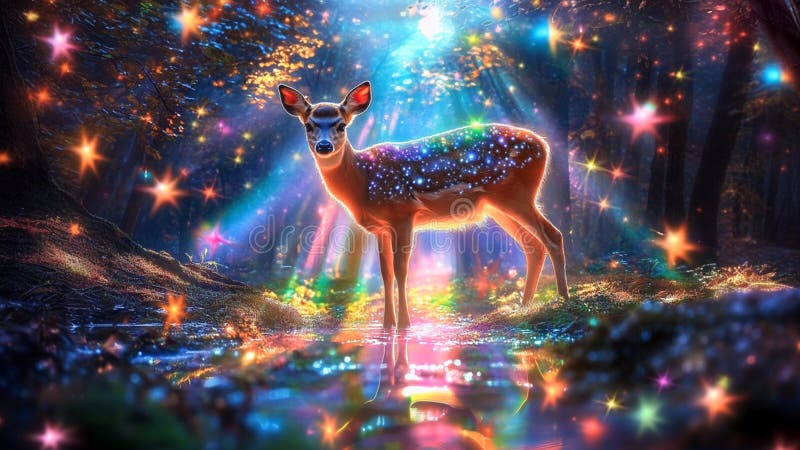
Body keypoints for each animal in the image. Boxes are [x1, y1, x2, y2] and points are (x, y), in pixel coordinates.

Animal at [278, 81, 569, 329]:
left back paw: (563, 301)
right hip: (498, 206)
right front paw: (387, 324)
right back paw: (524, 307)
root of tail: (544, 146)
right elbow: (385, 273)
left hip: (516, 195)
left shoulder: (403, 213)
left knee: (553, 235)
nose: (324, 146)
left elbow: (401, 271)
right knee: (533, 246)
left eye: (341, 125)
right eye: (308, 125)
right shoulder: (380, 228)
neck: (362, 182)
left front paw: (405, 324)